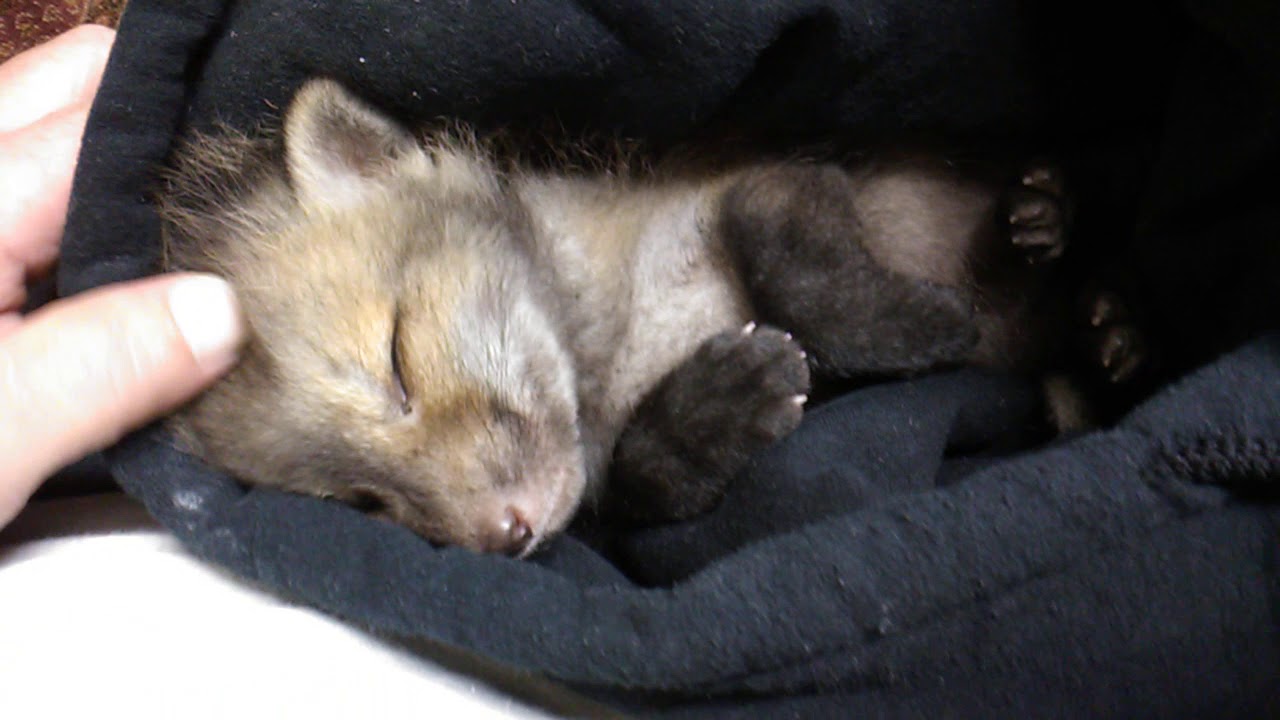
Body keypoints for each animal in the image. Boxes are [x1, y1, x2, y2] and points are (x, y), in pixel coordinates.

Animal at [158, 78, 1077, 556]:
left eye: (397, 361)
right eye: (361, 501)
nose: (506, 538)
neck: (615, 353)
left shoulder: (776, 179)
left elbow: (793, 264)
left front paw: (926, 326)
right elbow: (643, 479)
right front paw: (717, 408)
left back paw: (1048, 234)